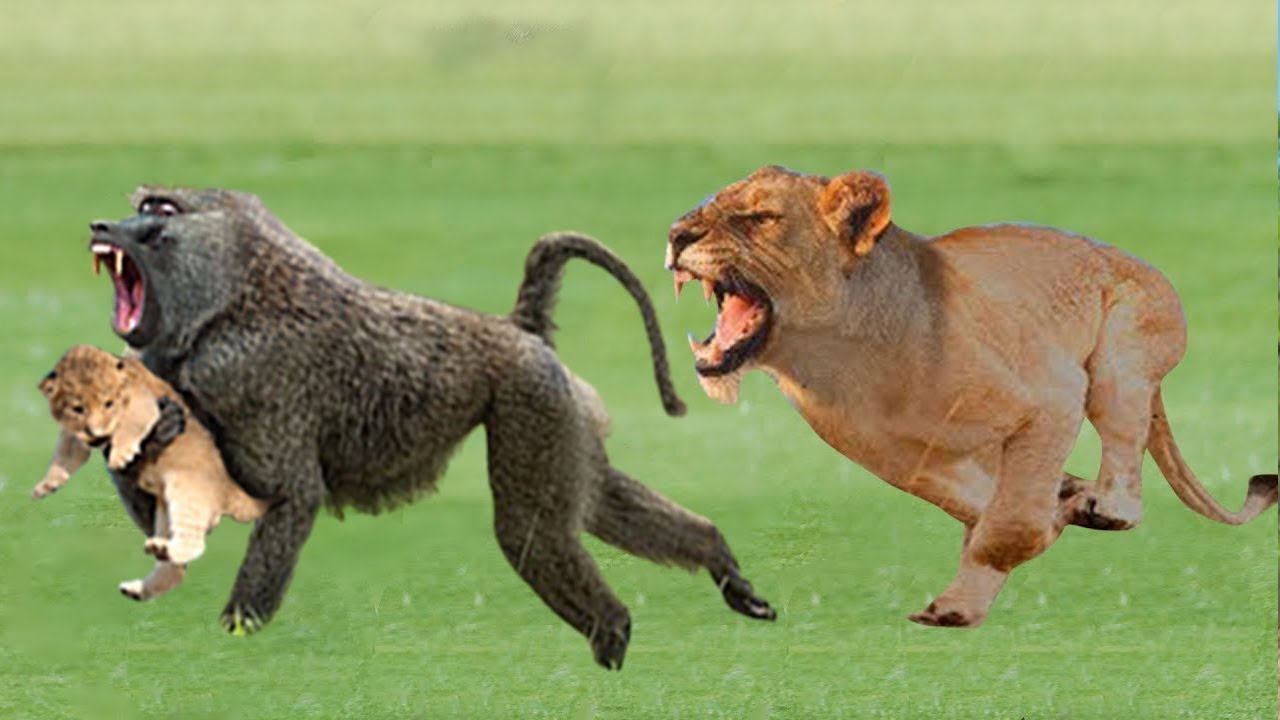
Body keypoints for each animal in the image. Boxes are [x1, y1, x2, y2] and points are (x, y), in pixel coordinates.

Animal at [34, 345, 268, 601]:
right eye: (78, 408)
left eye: (109, 404)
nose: (98, 435)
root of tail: (231, 488)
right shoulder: (74, 434)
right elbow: (65, 455)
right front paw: (47, 485)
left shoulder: (146, 404)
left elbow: (130, 425)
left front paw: (121, 455)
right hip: (165, 513)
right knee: (174, 569)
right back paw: (140, 586)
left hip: (185, 492)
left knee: (194, 545)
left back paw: (160, 550)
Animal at [85, 188, 775, 669]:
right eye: (139, 204)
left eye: (158, 211)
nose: (100, 226)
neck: (231, 297)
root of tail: (514, 330)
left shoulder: (251, 378)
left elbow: (291, 495)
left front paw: (239, 632)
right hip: (551, 405)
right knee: (597, 499)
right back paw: (716, 560)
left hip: (529, 397)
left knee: (530, 531)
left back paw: (613, 638)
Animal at [666, 165, 1278, 628]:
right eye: (709, 204)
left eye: (759, 218)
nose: (675, 234)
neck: (844, 362)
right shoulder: (902, 455)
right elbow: (986, 505)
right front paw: (1043, 519)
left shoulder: (1053, 397)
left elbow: (1009, 522)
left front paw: (977, 586)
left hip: (1120, 362)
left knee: (1125, 447)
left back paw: (1105, 506)